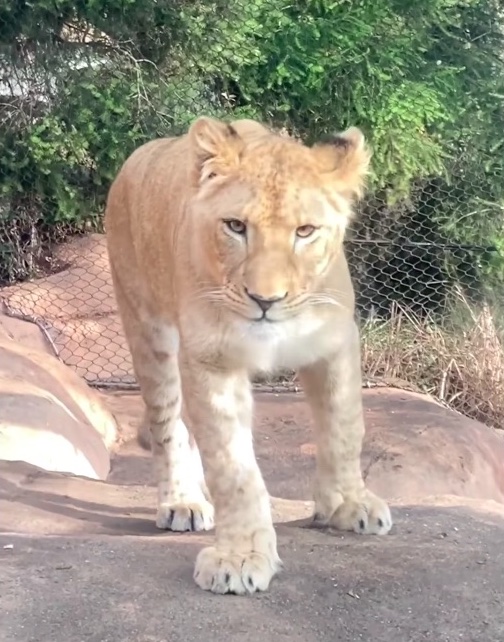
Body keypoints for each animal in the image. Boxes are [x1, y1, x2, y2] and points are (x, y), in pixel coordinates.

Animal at [104, 116, 392, 595]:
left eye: (305, 231)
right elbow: (233, 468)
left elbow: (345, 428)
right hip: (149, 333)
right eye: (236, 226)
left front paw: (349, 505)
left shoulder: (334, 341)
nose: (265, 300)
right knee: (167, 426)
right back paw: (183, 501)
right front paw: (240, 558)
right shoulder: (211, 359)